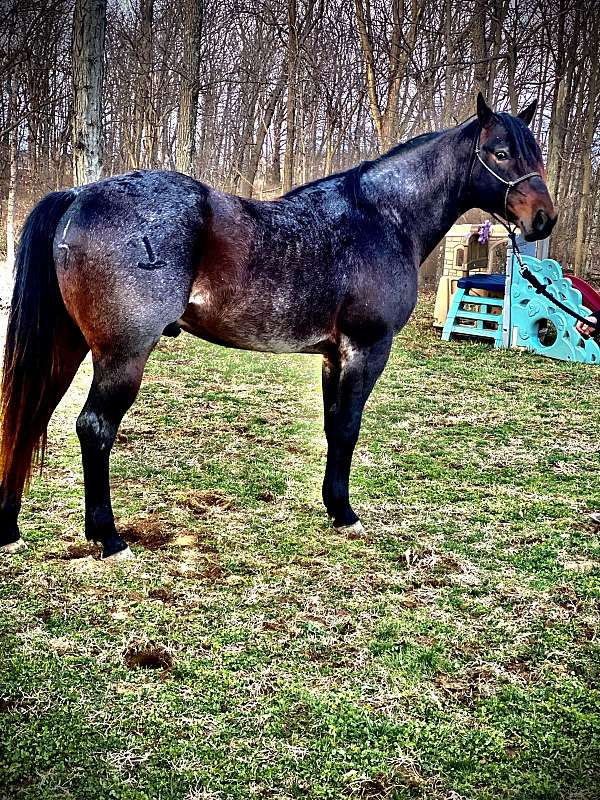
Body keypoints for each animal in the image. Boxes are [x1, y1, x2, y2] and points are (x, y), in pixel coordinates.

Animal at [0, 93, 556, 559]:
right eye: (500, 153)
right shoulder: (366, 349)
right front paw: (346, 514)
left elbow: (334, 427)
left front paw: (333, 507)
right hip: (122, 356)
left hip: (66, 347)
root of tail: (79, 194)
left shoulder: (335, 356)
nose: (543, 220)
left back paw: (10, 526)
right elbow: (348, 428)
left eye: (535, 152)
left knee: (30, 414)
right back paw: (108, 537)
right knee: (94, 427)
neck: (379, 218)